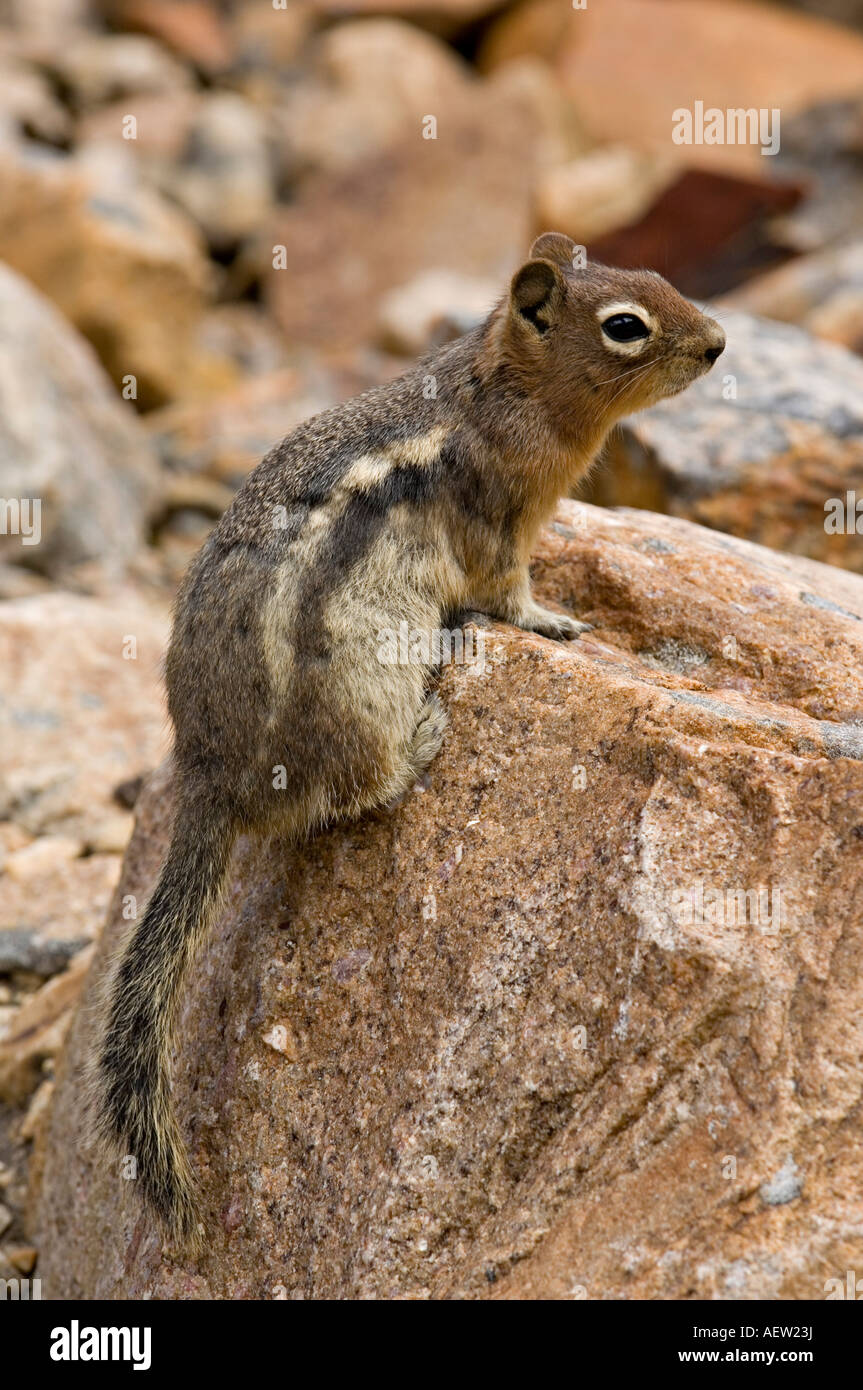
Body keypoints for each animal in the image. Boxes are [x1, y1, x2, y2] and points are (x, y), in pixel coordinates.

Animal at [97, 232, 725, 1243]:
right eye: (625, 326)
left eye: (659, 277)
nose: (717, 344)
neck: (502, 390)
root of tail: (207, 774)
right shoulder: (498, 524)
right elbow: (507, 590)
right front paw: (553, 620)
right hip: (365, 689)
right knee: (358, 791)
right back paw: (425, 737)